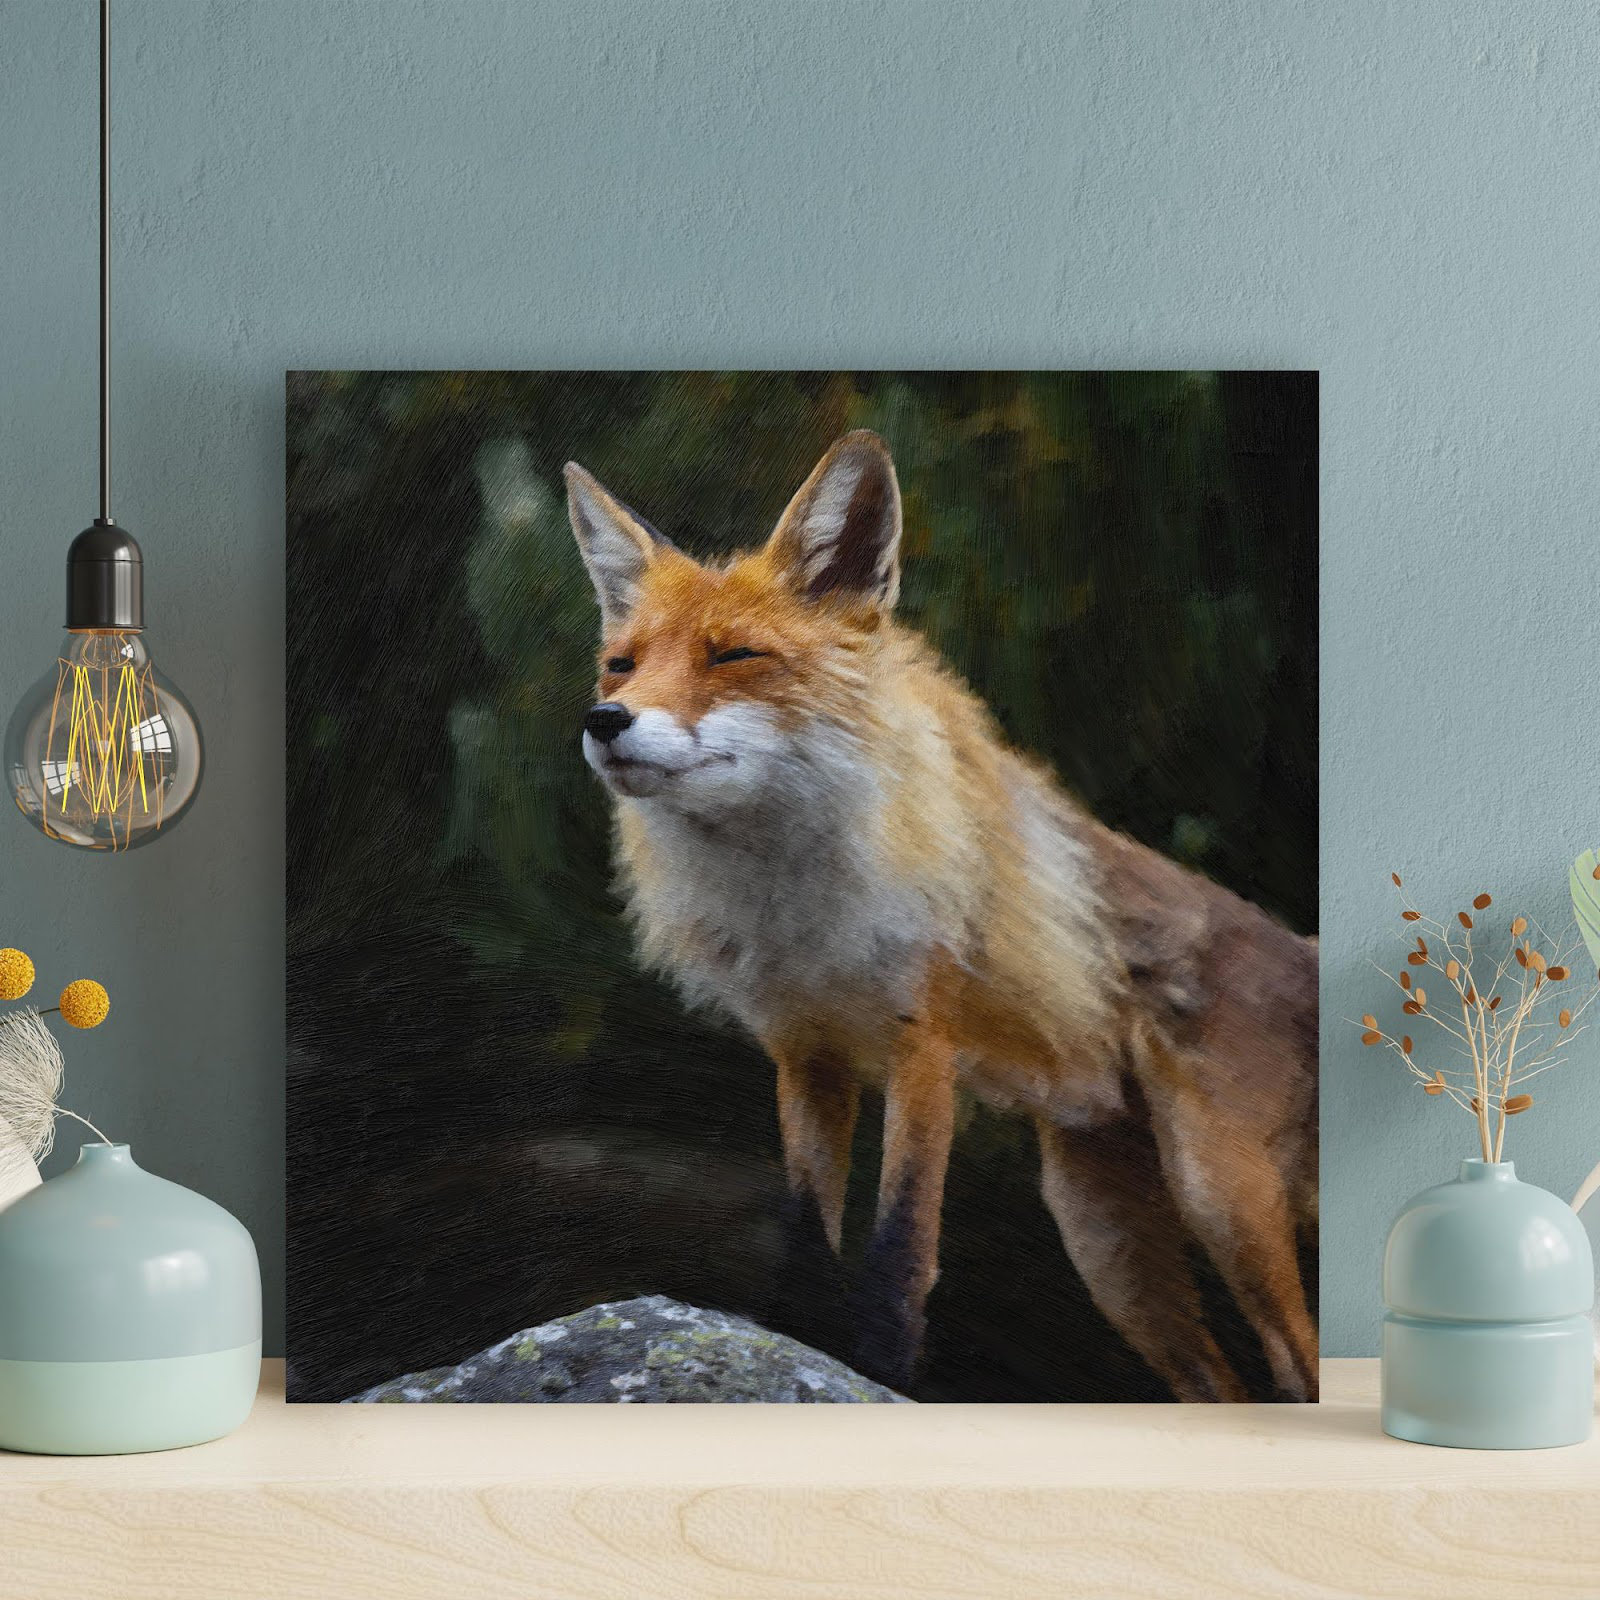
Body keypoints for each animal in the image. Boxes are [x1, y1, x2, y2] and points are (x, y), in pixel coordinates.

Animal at [564, 430, 1319, 1402]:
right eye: (622, 664)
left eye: (732, 657)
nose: (604, 718)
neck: (794, 899)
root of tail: (1299, 947)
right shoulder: (806, 1053)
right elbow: (806, 1230)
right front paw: (794, 1348)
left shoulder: (922, 1042)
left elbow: (899, 1246)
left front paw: (883, 1371)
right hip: (1107, 1245)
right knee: (1221, 1389)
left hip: (1219, 1199)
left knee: (1303, 1366)